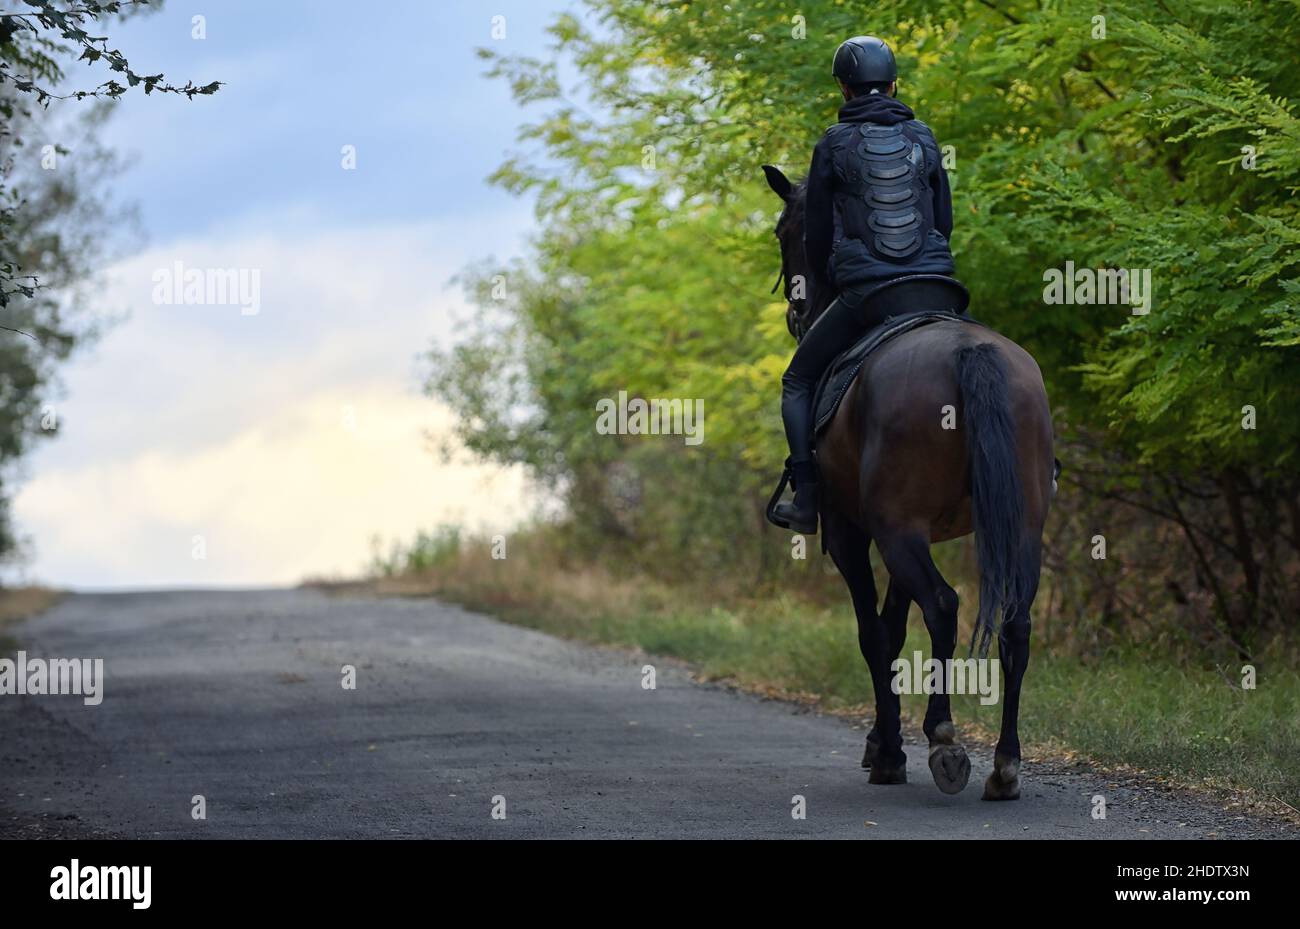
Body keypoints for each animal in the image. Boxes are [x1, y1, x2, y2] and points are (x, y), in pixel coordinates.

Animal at [763, 164, 1055, 800]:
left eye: (784, 230)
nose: (798, 316)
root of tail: (972, 352)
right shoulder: (905, 532)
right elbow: (895, 628)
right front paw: (880, 742)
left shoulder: (854, 533)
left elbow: (874, 634)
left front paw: (890, 753)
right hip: (1015, 528)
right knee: (1015, 626)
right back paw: (1005, 766)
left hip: (897, 532)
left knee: (943, 607)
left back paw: (944, 740)